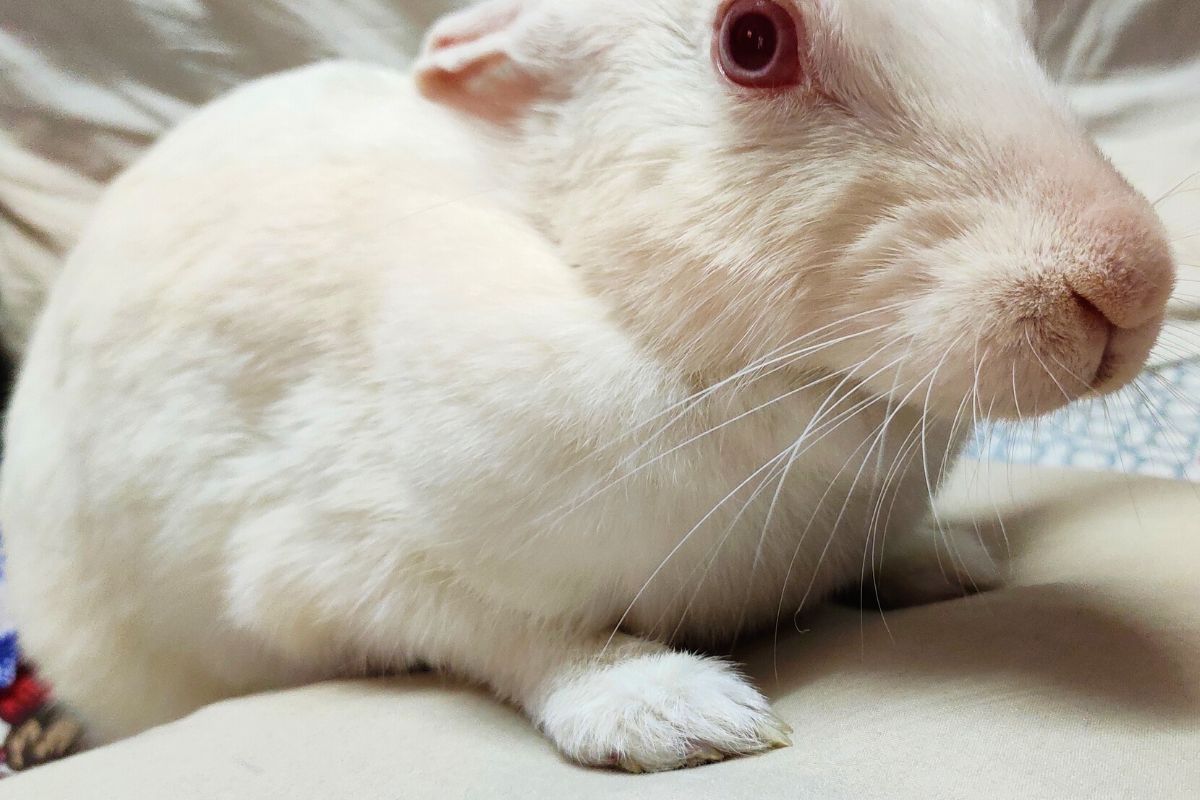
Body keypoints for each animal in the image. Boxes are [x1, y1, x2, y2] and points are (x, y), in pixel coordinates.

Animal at [0, 0, 1176, 774]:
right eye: (753, 41)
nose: (1132, 282)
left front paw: (948, 559)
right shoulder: (343, 567)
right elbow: (516, 638)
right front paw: (678, 713)